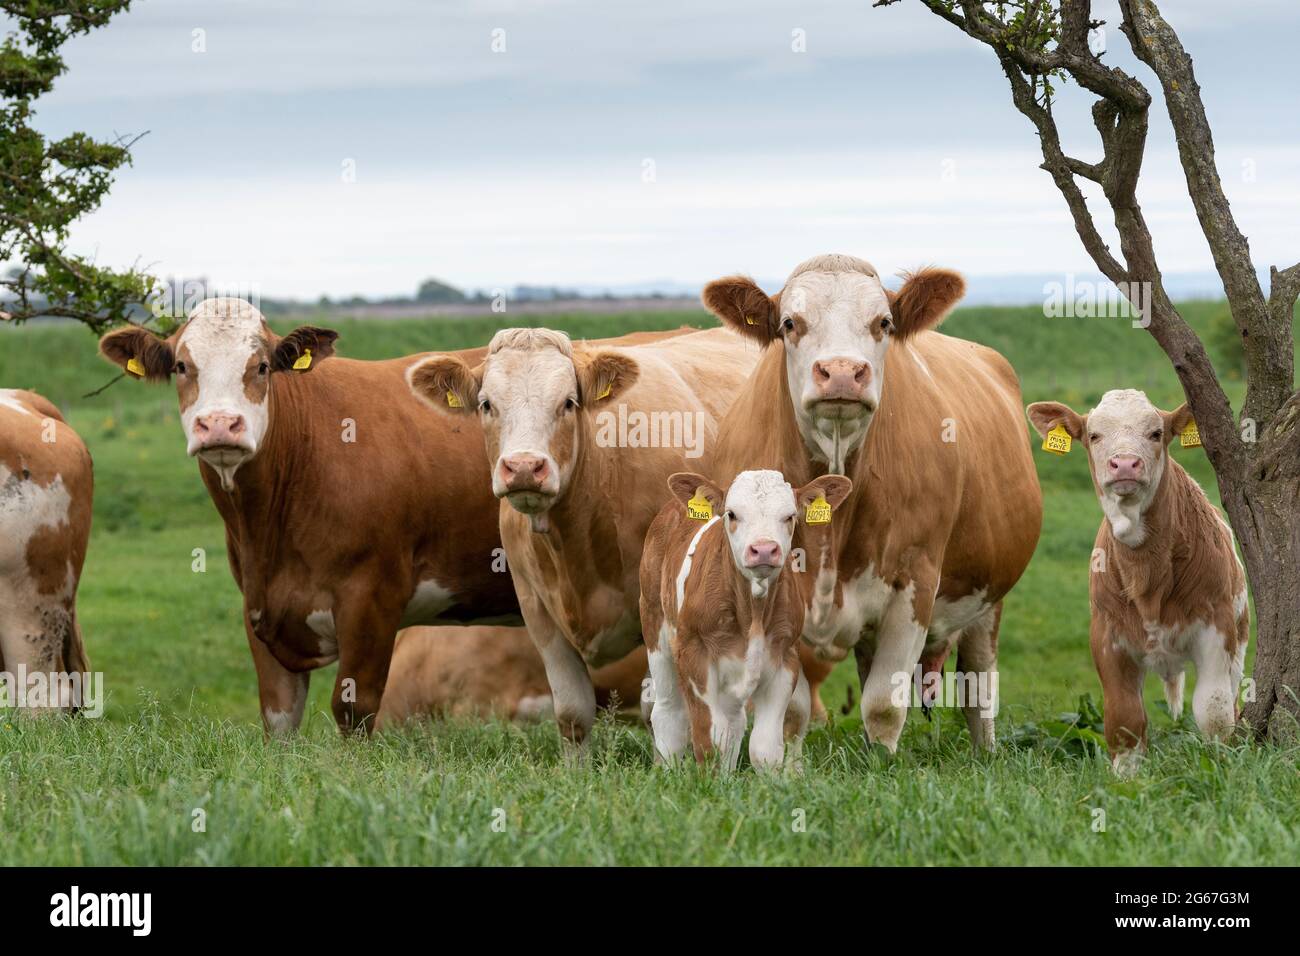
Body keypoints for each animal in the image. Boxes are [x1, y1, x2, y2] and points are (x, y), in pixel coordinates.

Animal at [407, 325, 766, 754]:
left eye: (568, 402)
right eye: (487, 404)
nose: (524, 467)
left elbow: (658, 708)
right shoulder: (536, 609)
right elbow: (572, 712)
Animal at [639, 469, 852, 771]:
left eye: (790, 516)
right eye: (732, 514)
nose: (763, 549)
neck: (752, 611)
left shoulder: (784, 659)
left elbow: (764, 747)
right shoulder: (694, 654)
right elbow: (709, 739)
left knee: (734, 721)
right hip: (655, 627)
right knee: (668, 713)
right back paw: (668, 768)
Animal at [700, 254, 1042, 753]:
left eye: (883, 322)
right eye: (789, 323)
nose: (842, 370)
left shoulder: (915, 582)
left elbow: (883, 706)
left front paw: (882, 761)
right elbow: (793, 713)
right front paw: (792, 766)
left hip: (988, 599)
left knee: (978, 687)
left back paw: (985, 754)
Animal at [1026, 390, 1249, 773]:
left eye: (1156, 433)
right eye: (1094, 435)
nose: (1126, 464)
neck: (1146, 573)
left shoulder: (1216, 628)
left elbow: (1215, 711)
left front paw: (1219, 767)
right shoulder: (1107, 636)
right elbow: (1124, 719)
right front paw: (1127, 779)